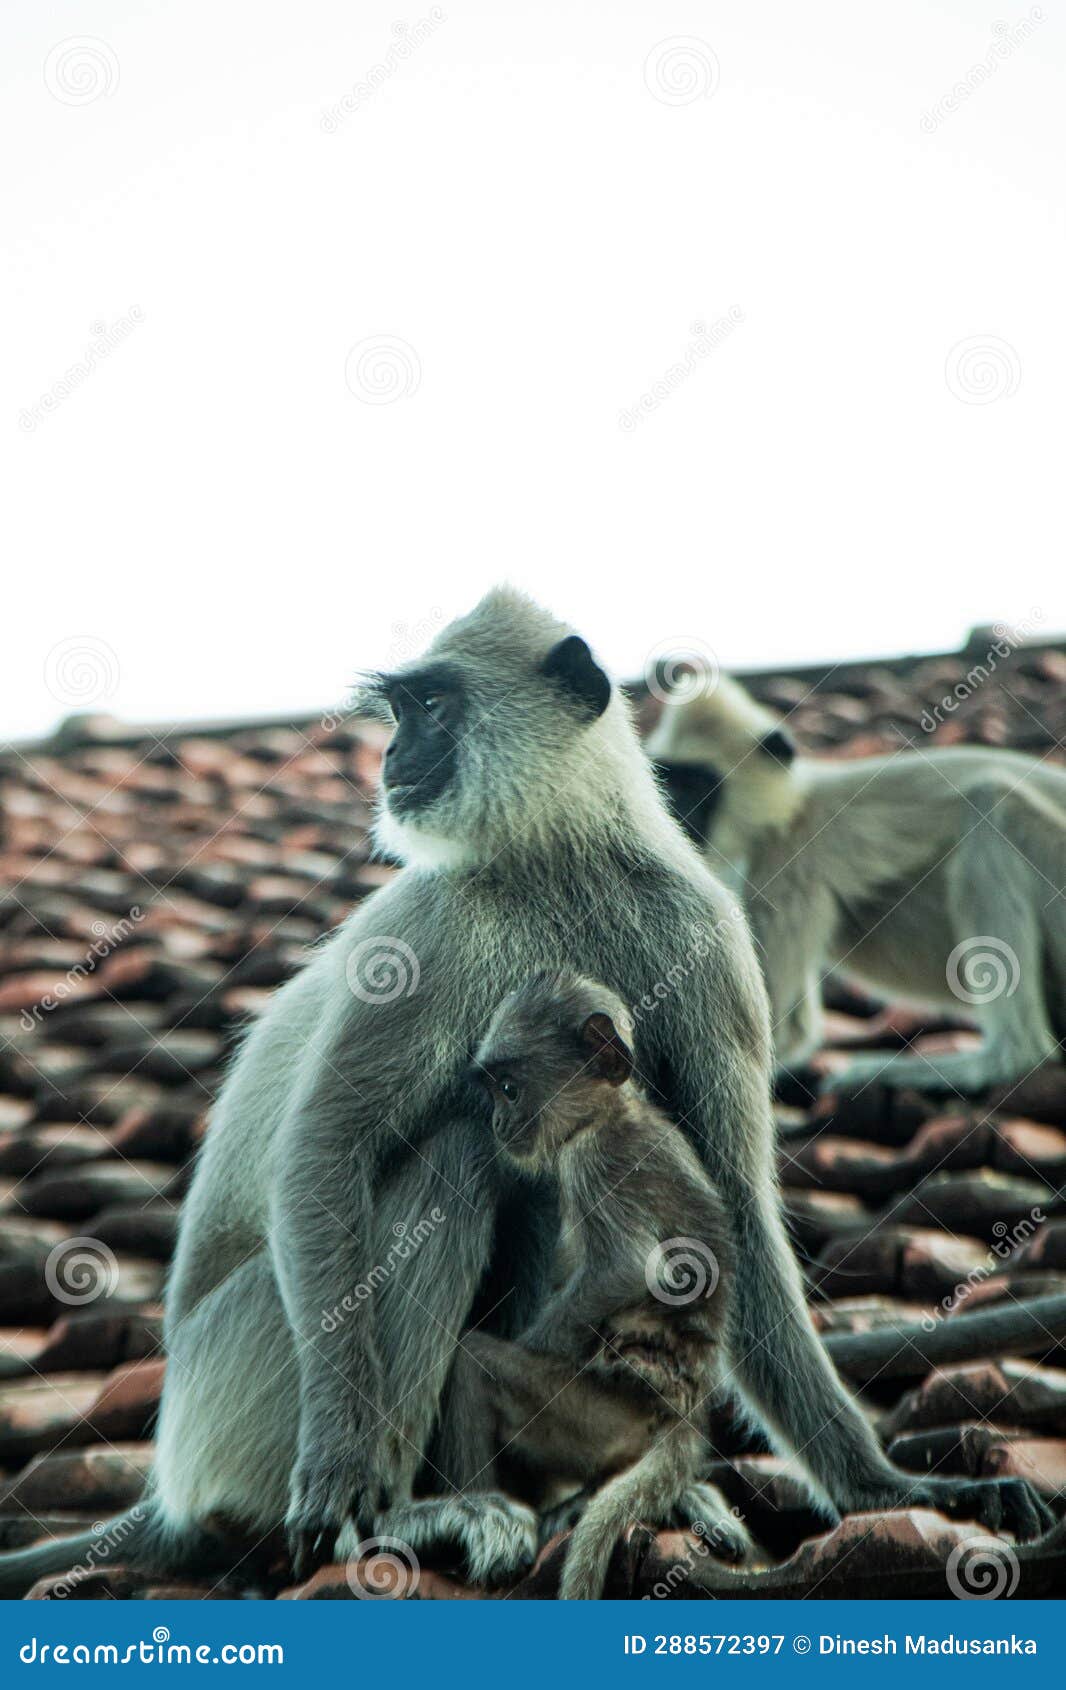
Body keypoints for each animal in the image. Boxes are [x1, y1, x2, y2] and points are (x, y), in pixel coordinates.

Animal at [647, 671, 1066, 1097]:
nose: (671, 813)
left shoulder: (791, 861)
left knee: (994, 803)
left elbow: (777, 1034)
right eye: (665, 781)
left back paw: (997, 1061)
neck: (790, 811)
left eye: (695, 785)